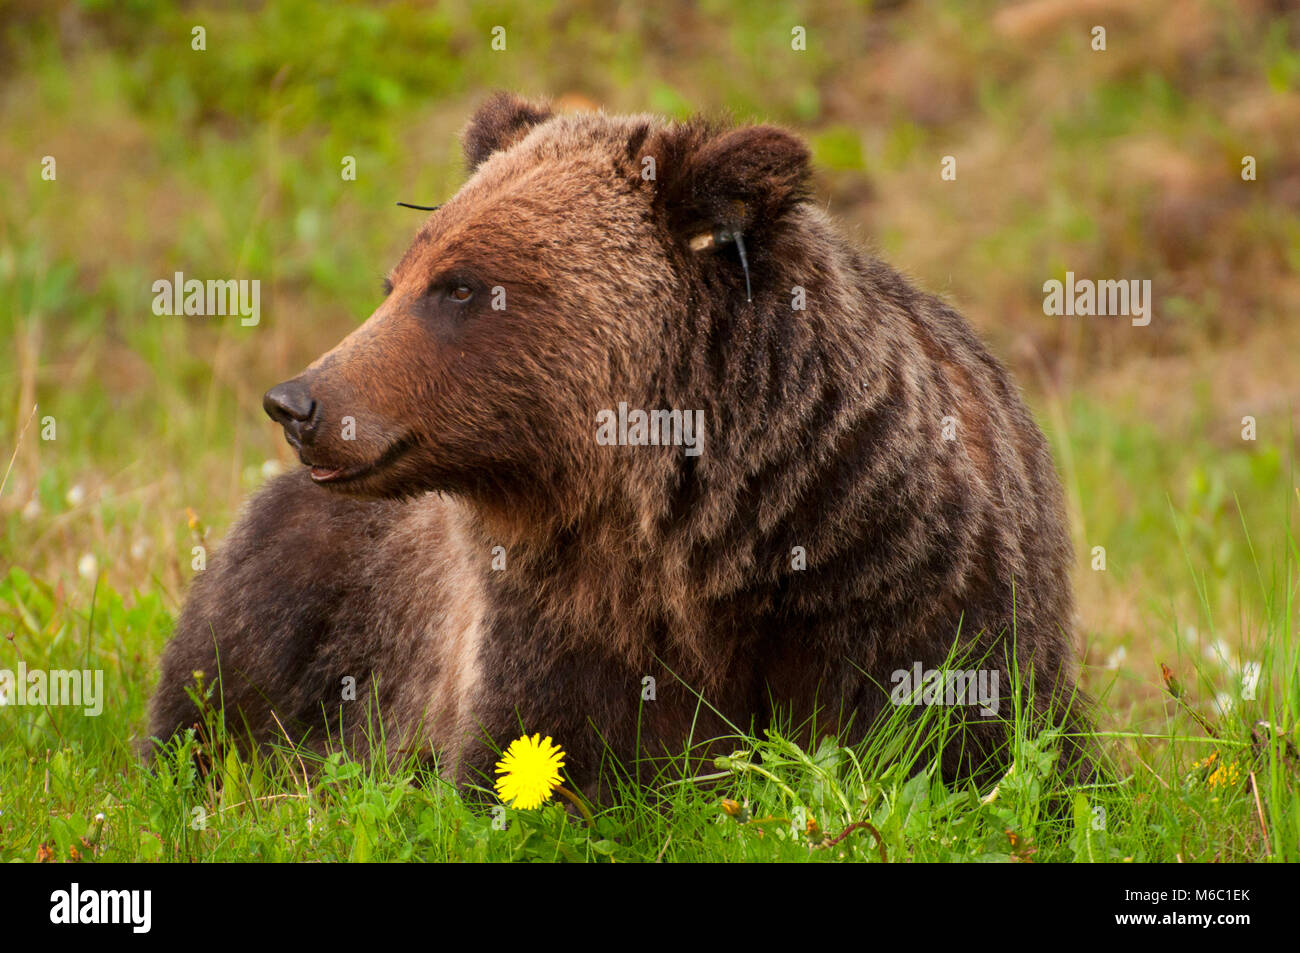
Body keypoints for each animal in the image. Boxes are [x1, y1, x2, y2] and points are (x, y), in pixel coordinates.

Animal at [149, 92, 1089, 794]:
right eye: (398, 280)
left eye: (458, 287)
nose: (299, 400)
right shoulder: (552, 617)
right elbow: (530, 757)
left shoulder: (906, 592)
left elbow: (936, 749)